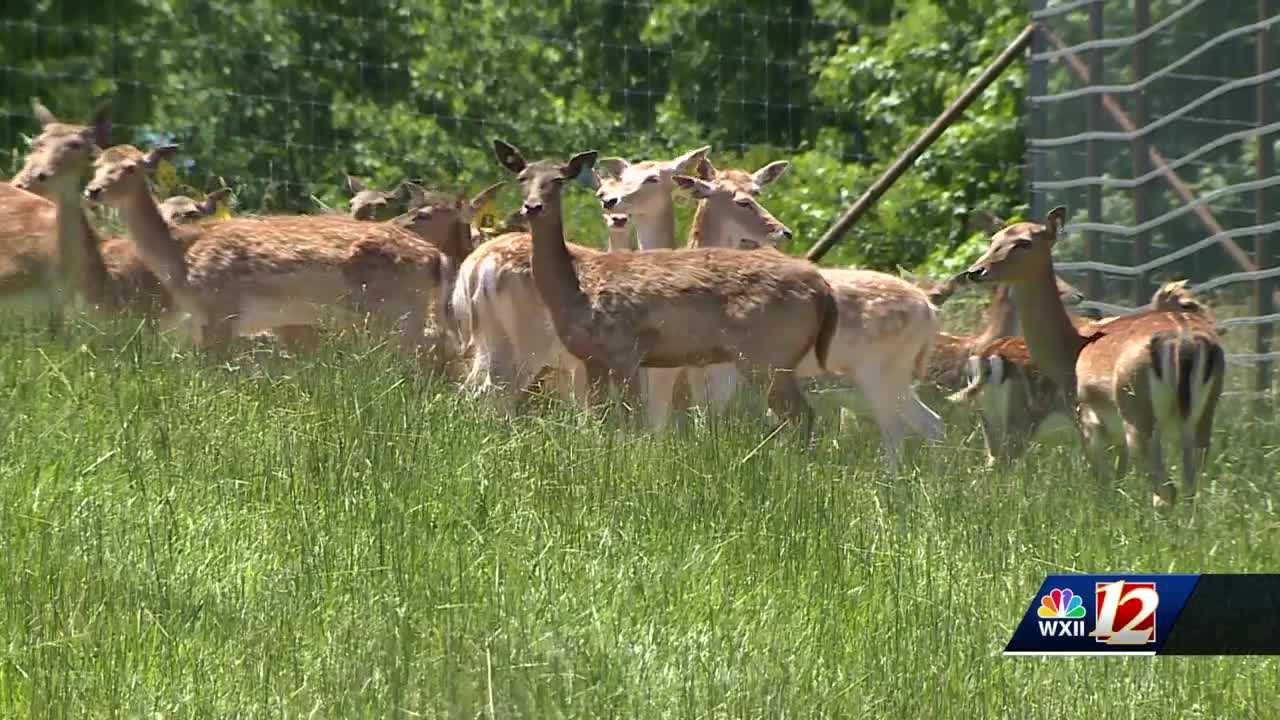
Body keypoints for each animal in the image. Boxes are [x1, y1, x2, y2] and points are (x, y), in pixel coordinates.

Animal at [84, 143, 451, 360]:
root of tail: (438, 259)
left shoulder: (221, 309)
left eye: (132, 167)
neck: (181, 256)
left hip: (395, 310)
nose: (93, 190)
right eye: (96, 163)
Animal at [493, 139, 837, 437]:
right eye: (522, 177)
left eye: (559, 180)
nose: (532, 206)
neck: (575, 287)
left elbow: (633, 422)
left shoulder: (626, 351)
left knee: (801, 415)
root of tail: (823, 289)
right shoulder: (593, 359)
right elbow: (600, 421)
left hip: (768, 354)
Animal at [962, 206, 1224, 506]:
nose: (975, 271)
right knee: (1190, 486)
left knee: (1166, 490)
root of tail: (1186, 344)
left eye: (1024, 242)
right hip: (1203, 414)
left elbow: (1105, 487)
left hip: (1135, 412)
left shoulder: (1088, 422)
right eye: (993, 240)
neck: (1069, 351)